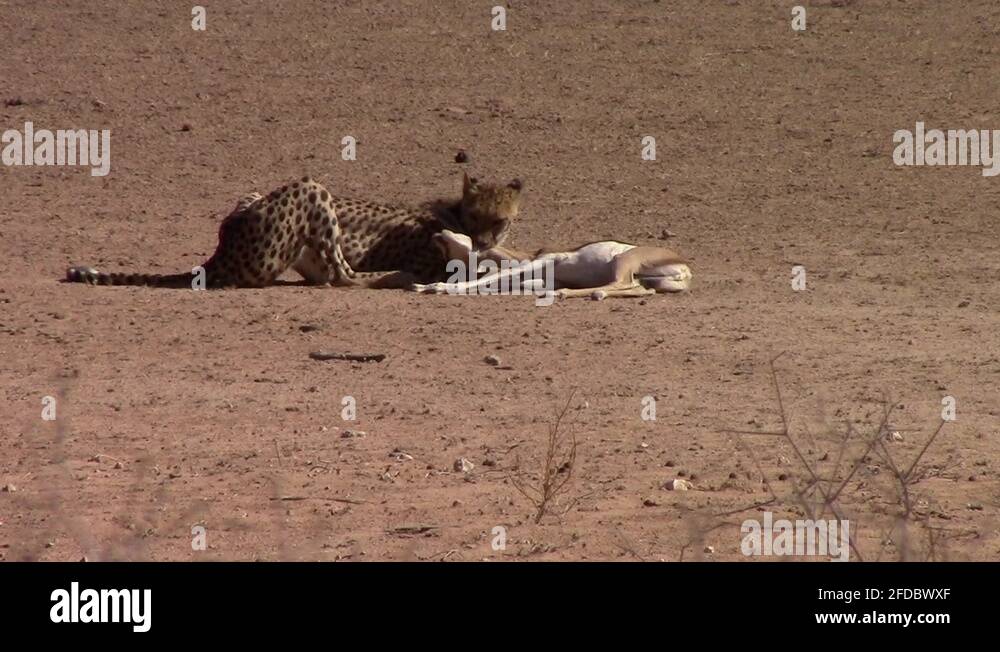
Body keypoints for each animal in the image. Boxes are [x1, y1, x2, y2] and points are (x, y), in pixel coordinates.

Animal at [64, 172, 523, 289]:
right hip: (311, 188)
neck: (455, 216)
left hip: (252, 194)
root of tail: (220, 252)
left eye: (498, 220)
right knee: (341, 277)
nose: (485, 239)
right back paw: (394, 277)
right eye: (477, 217)